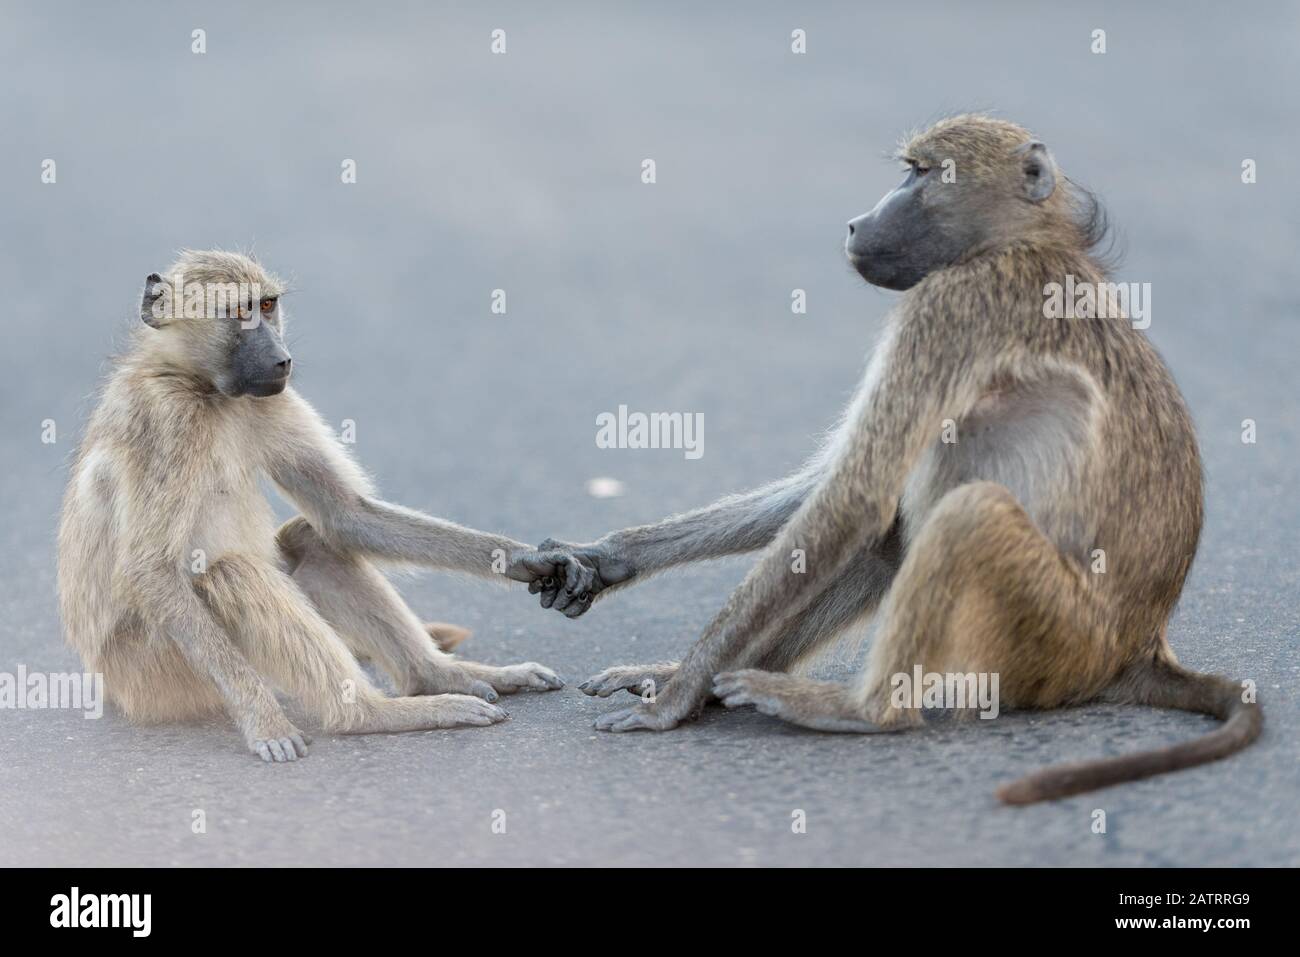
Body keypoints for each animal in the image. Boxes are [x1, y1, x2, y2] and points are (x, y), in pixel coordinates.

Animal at [57, 249, 588, 762]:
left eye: (267, 305)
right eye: (240, 312)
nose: (281, 359)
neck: (198, 385)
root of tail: (109, 687)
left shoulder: (271, 400)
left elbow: (345, 515)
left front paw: (534, 560)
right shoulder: (165, 420)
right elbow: (151, 570)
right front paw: (264, 722)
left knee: (313, 540)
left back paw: (435, 679)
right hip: (157, 673)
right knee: (233, 573)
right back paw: (369, 714)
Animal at [533, 115, 1262, 803]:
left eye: (921, 172)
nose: (857, 221)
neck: (1021, 241)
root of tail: (1139, 647)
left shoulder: (949, 306)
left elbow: (856, 492)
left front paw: (675, 697)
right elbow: (847, 496)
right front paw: (602, 561)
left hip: (1060, 636)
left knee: (964, 513)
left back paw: (862, 710)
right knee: (895, 528)